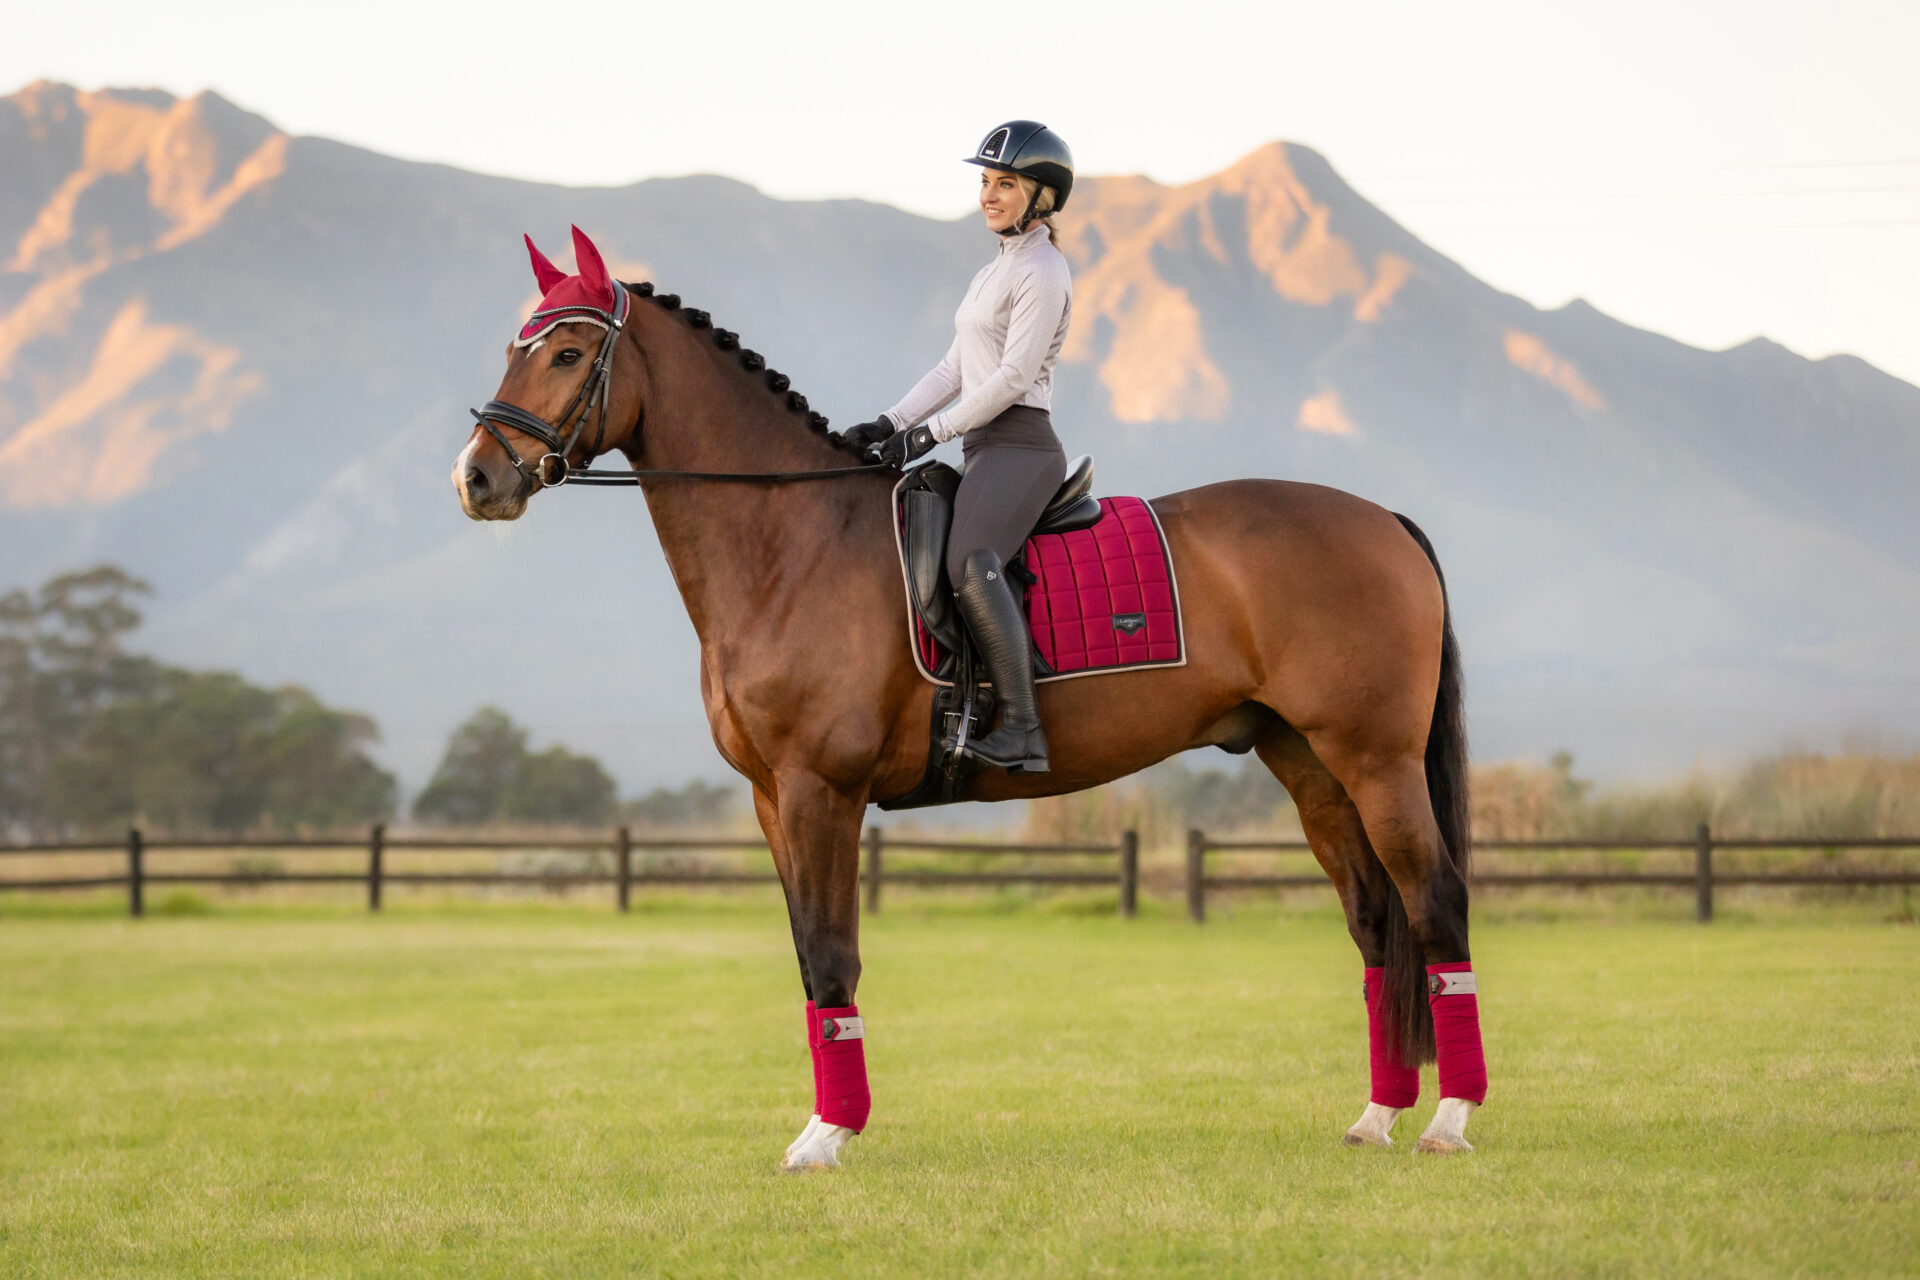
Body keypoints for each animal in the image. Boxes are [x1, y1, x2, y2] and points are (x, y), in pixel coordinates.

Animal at [453, 227, 1484, 1169]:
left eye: (569, 353)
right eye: (516, 345)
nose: (477, 477)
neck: (794, 544)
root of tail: (1381, 519)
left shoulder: (822, 791)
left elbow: (833, 952)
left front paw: (829, 1135)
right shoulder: (770, 799)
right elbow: (808, 960)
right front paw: (825, 1125)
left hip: (1376, 761)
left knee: (1434, 902)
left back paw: (1447, 1120)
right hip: (1308, 764)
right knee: (1375, 920)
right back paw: (1378, 1116)